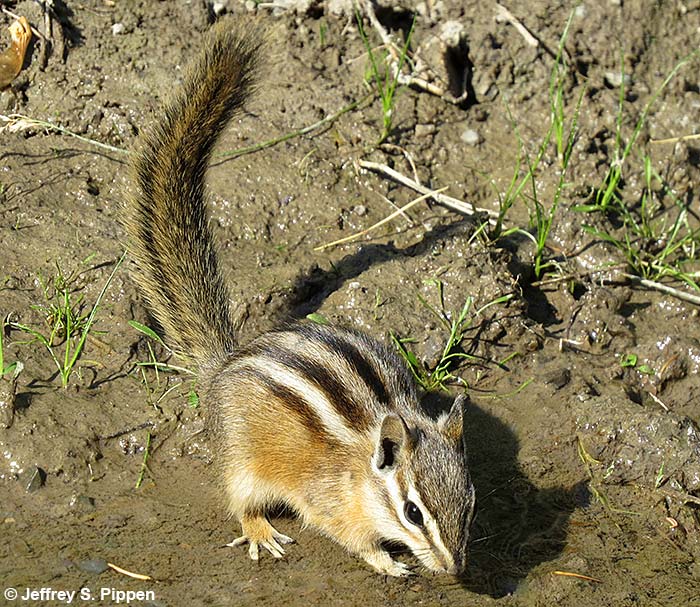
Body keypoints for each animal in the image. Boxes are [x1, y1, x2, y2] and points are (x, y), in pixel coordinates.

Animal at [125, 18, 475, 577]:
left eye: (470, 498)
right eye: (413, 513)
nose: (455, 569)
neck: (362, 473)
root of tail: (224, 362)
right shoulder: (327, 501)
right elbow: (346, 534)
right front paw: (386, 561)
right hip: (242, 463)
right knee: (239, 501)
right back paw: (260, 531)